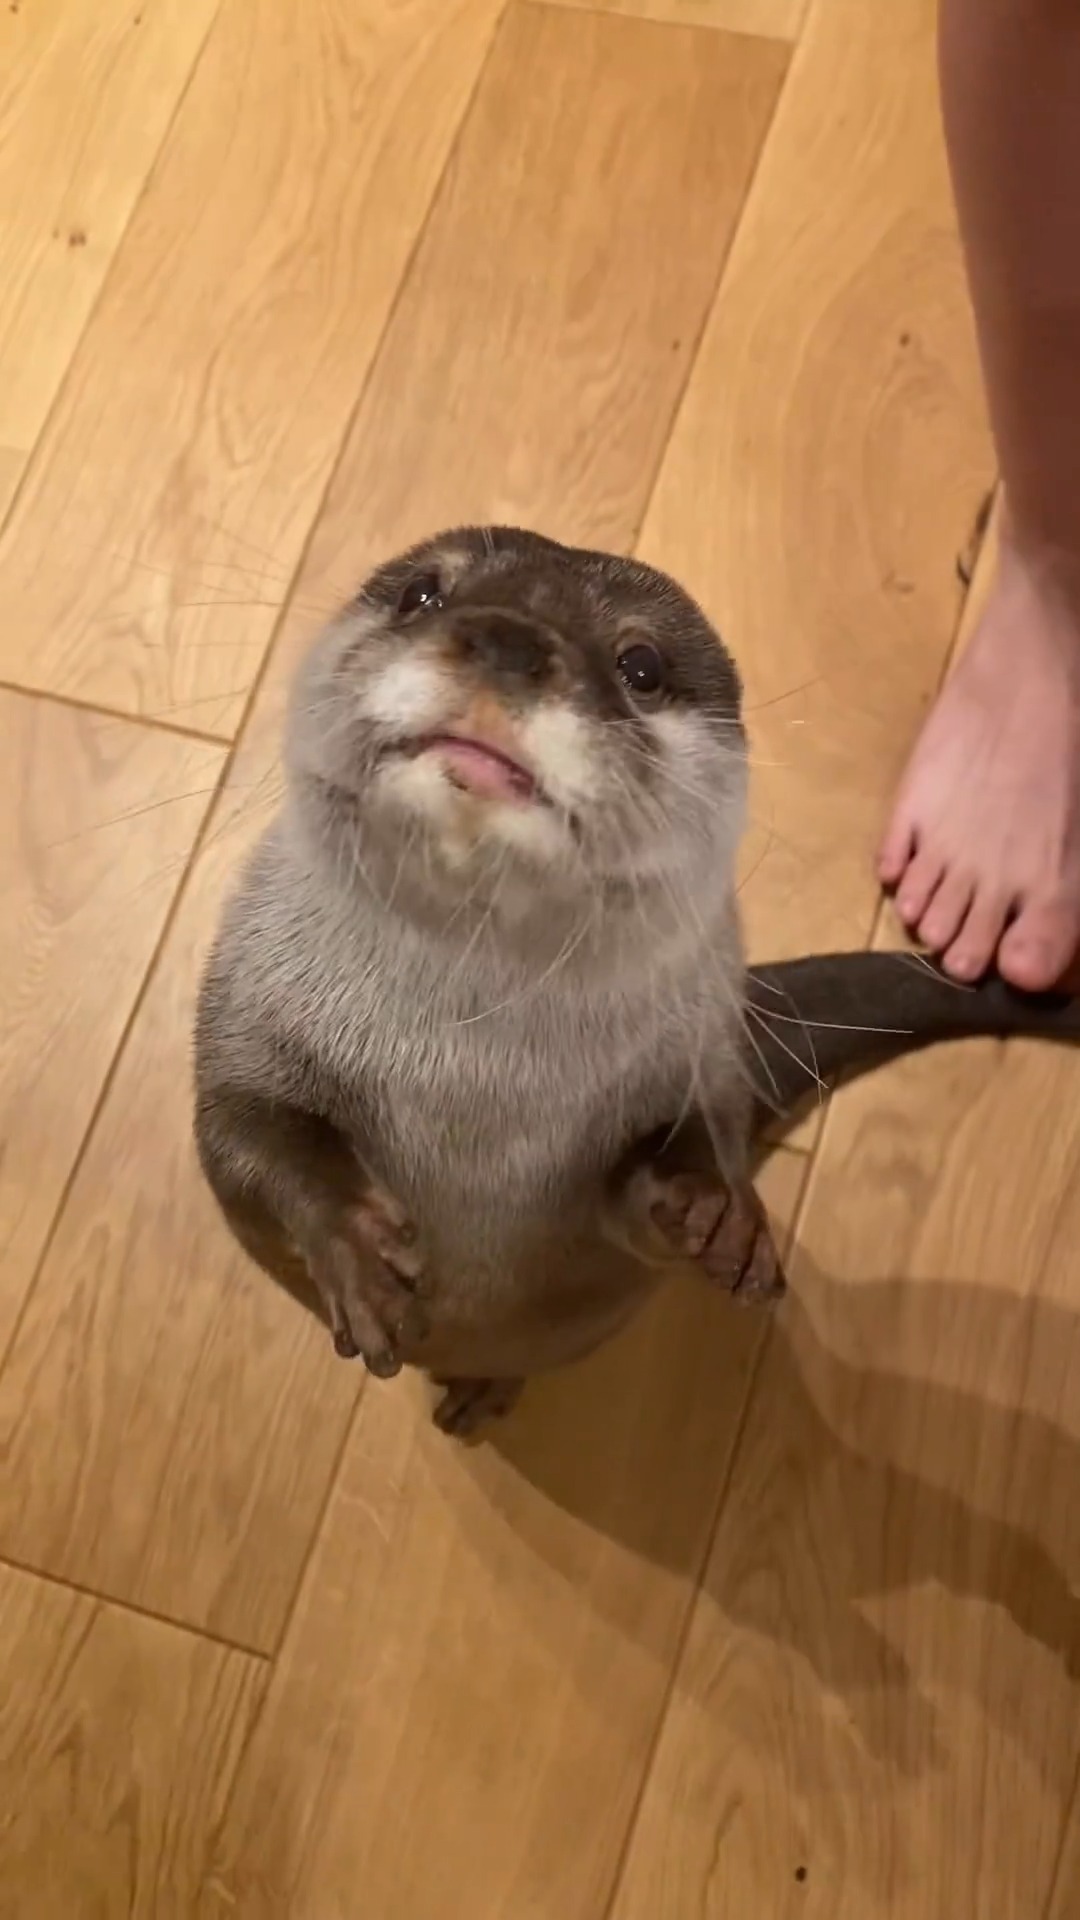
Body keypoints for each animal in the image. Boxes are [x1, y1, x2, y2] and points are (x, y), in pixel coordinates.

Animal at [193, 526, 1080, 1436]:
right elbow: (249, 1143)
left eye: (642, 666)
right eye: (422, 594)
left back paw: (486, 1388)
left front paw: (714, 1211)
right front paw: (356, 1251)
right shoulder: (242, 1025)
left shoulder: (699, 1067)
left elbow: (657, 1174)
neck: (468, 1078)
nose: (509, 640)